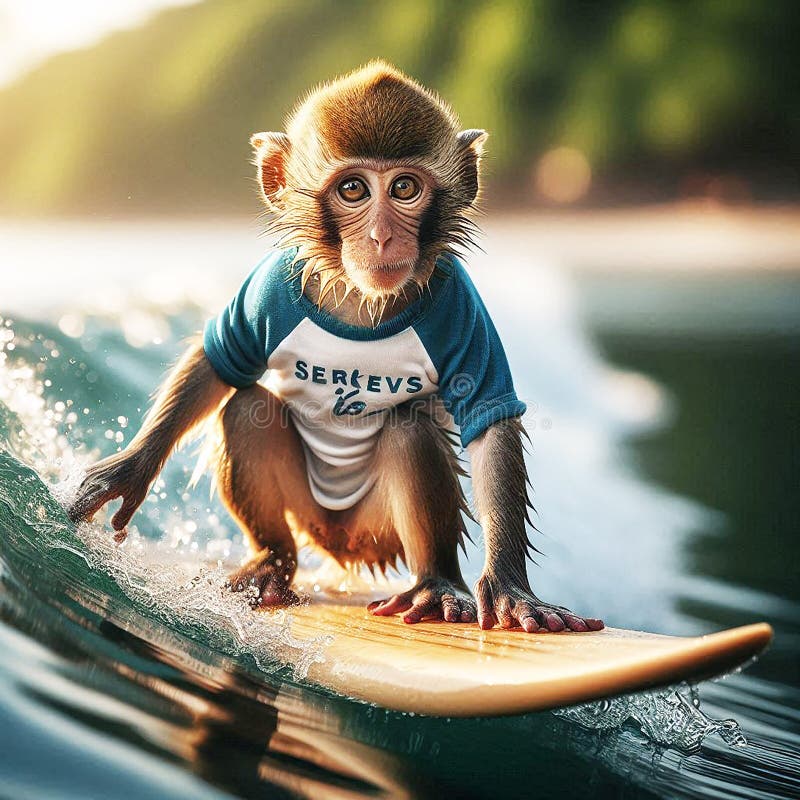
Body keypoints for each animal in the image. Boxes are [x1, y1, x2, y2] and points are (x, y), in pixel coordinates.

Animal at [68, 61, 602, 634]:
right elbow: (218, 364)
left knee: (409, 428)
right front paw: (129, 472)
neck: (362, 303)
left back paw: (435, 583)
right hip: (308, 516)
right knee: (248, 409)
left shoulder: (459, 306)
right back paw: (272, 562)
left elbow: (489, 420)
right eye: (353, 190)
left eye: (405, 188)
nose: (381, 237)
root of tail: (339, 545)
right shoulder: (270, 289)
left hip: (375, 532)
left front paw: (508, 586)